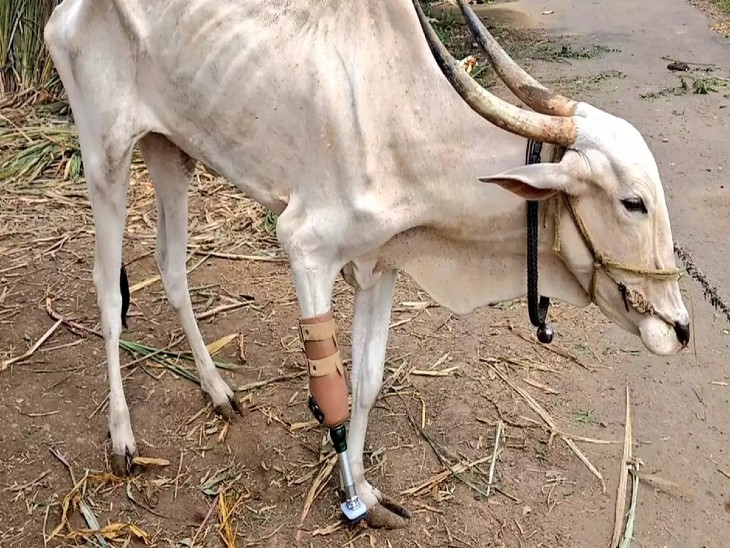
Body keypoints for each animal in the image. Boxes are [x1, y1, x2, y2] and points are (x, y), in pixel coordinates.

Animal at [44, 0, 689, 528]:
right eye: (633, 202)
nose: (680, 328)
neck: (407, 122)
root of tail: (66, 10)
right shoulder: (305, 250)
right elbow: (330, 392)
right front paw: (349, 499)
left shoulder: (382, 265)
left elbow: (367, 380)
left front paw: (363, 490)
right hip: (105, 155)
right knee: (108, 291)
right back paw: (123, 437)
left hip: (171, 149)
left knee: (173, 268)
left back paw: (217, 389)